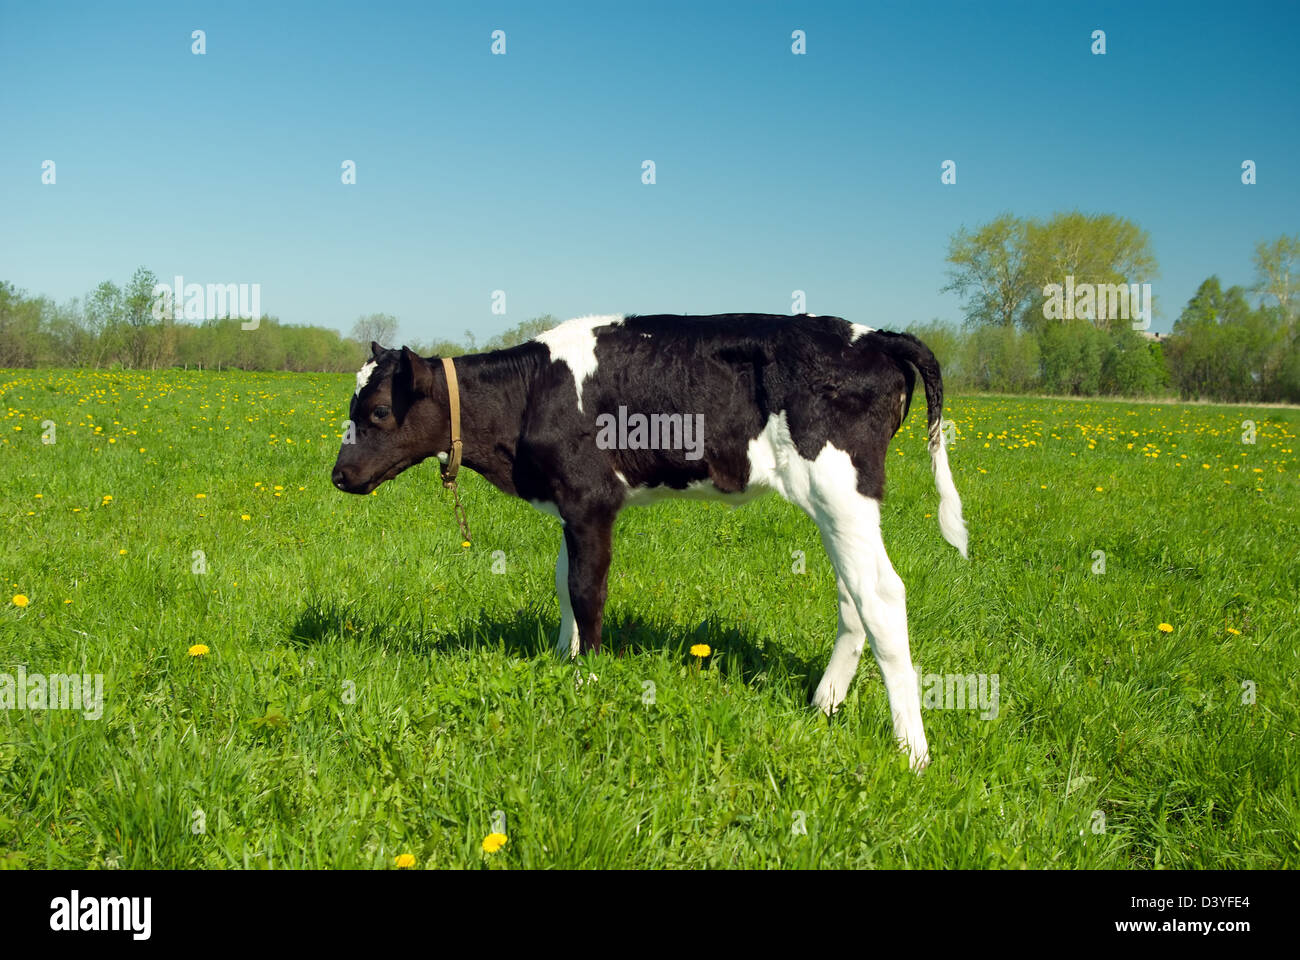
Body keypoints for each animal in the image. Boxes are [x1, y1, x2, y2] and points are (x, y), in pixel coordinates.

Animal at [332, 313, 967, 769]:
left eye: (380, 410)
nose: (338, 475)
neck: (530, 394)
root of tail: (875, 336)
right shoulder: (569, 505)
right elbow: (563, 586)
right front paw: (562, 660)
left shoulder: (591, 499)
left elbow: (587, 590)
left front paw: (587, 679)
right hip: (837, 504)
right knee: (853, 595)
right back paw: (823, 705)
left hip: (841, 487)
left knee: (881, 595)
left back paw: (913, 753)